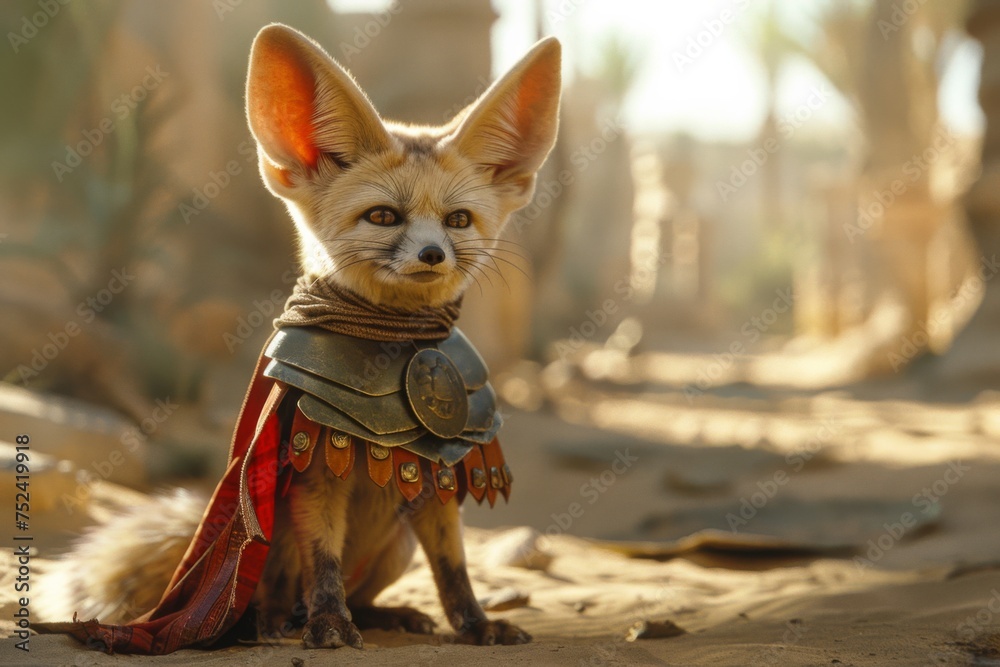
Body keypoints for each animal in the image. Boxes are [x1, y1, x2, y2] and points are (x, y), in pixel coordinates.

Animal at [35, 24, 561, 651]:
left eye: (457, 221)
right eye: (383, 217)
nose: (433, 254)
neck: (392, 348)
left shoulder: (435, 481)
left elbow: (454, 570)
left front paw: (477, 624)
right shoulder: (314, 475)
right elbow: (324, 564)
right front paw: (329, 625)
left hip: (398, 546)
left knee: (363, 592)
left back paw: (384, 615)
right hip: (266, 538)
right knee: (263, 592)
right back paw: (270, 621)